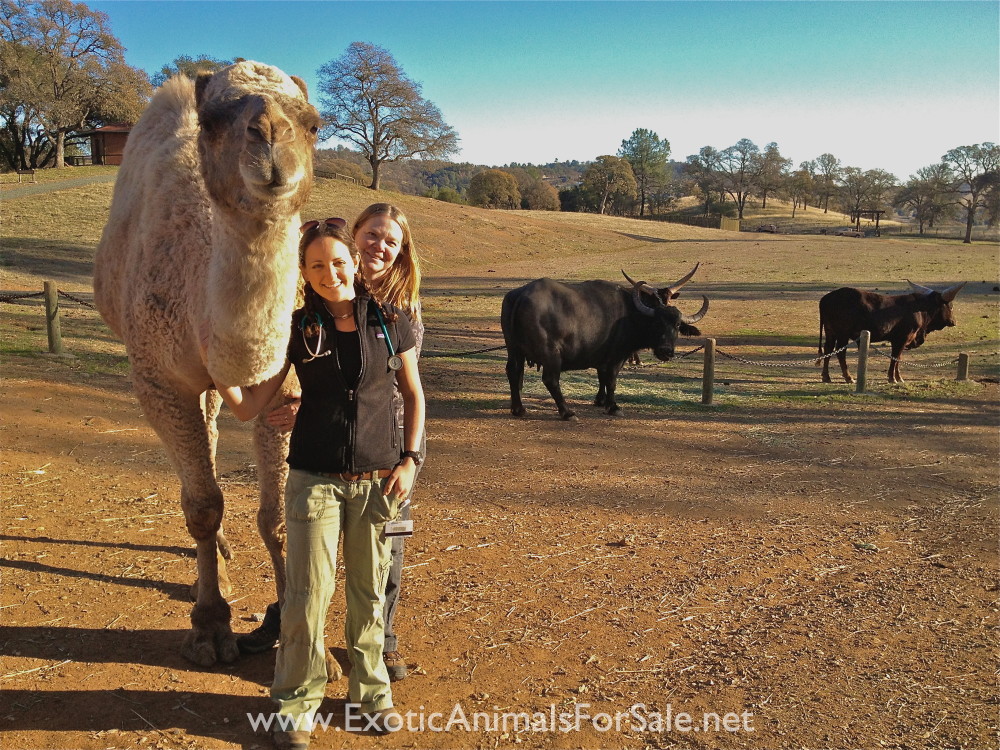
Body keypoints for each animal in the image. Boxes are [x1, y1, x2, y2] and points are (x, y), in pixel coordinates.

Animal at [93, 61, 320, 666]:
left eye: (314, 123)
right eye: (214, 121)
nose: (270, 134)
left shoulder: (285, 390)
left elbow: (278, 513)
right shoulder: (158, 379)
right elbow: (201, 506)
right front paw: (211, 627)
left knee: (214, 425)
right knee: (203, 464)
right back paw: (210, 564)